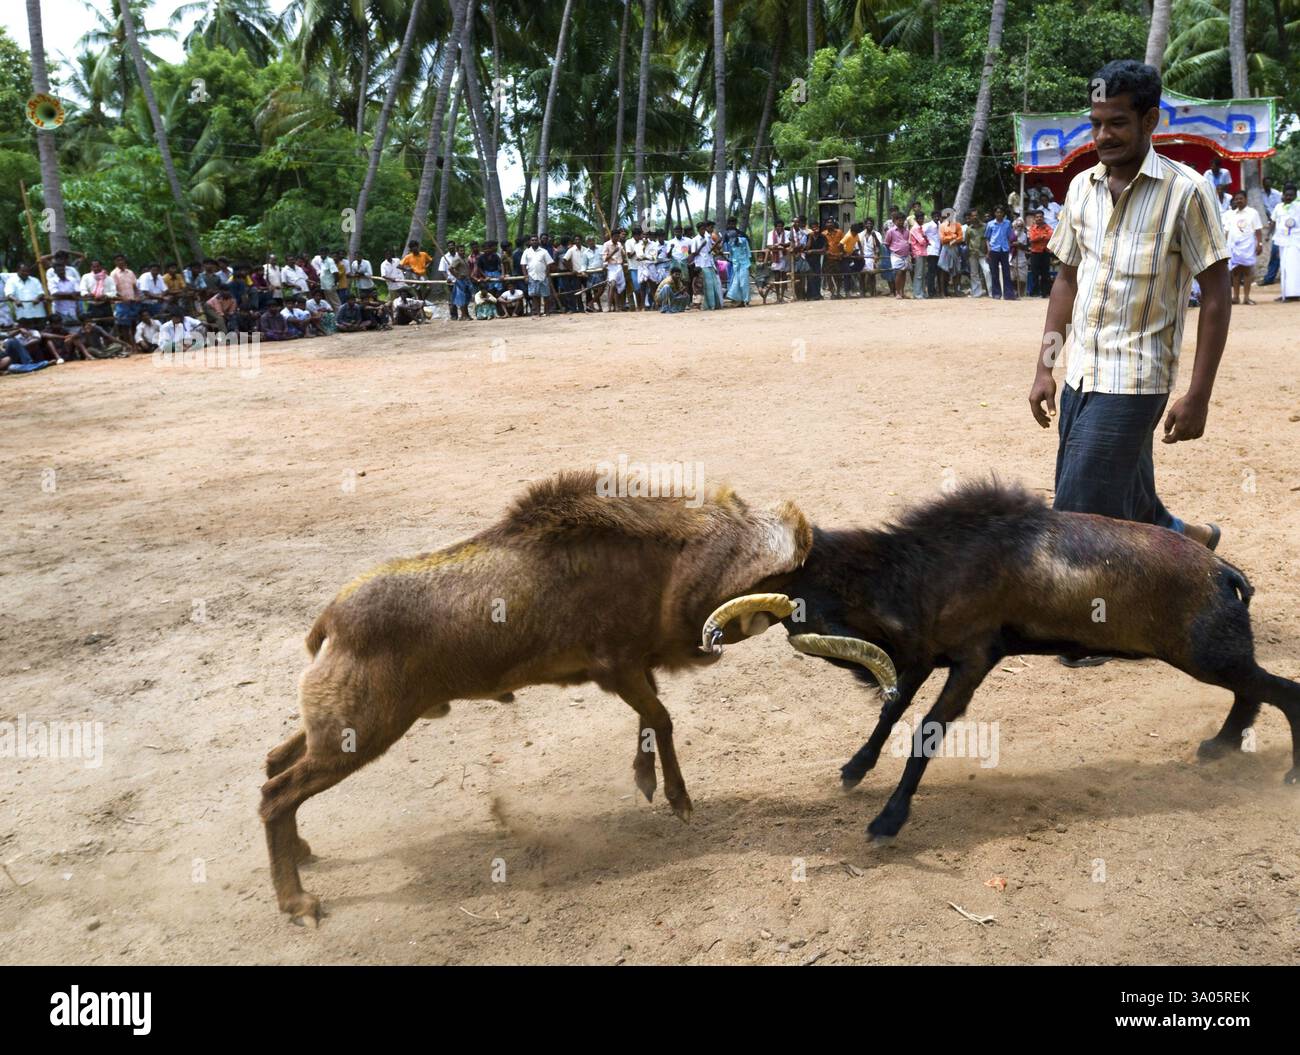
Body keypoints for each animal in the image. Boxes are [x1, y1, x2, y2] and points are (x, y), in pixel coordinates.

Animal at [260, 470, 811, 923]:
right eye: (787, 576)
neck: (670, 562)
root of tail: (329, 622)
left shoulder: (634, 669)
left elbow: (652, 720)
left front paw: (646, 781)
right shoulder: (616, 667)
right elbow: (662, 718)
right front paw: (678, 800)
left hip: (334, 728)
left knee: (273, 762)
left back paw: (303, 852)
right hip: (359, 733)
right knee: (275, 795)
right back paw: (298, 903)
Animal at [705, 480, 1300, 842]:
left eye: (800, 601)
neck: (923, 570)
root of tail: (1226, 574)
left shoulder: (972, 661)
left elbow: (925, 732)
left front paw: (889, 820)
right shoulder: (923, 655)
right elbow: (891, 713)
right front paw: (854, 770)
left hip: (1209, 656)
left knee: (1283, 692)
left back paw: (1286, 772)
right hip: (1216, 658)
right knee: (1253, 691)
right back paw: (1221, 745)